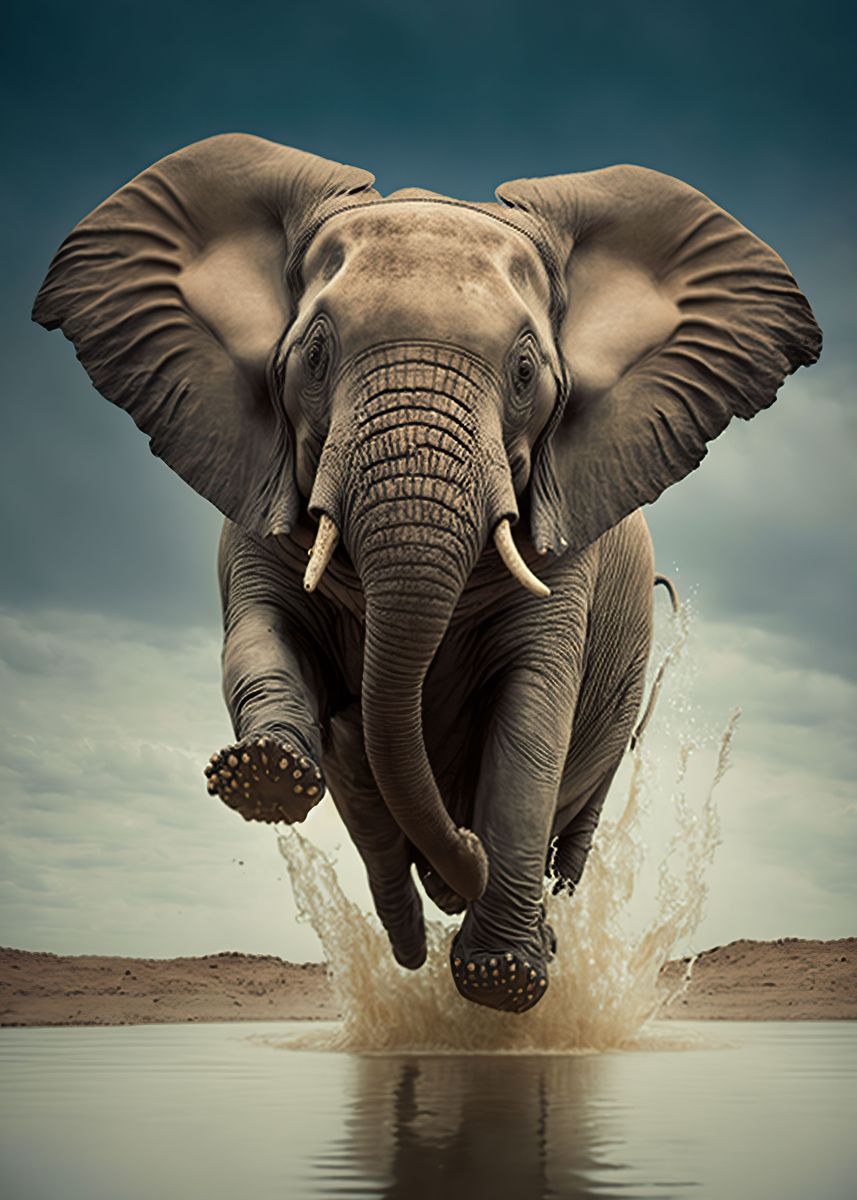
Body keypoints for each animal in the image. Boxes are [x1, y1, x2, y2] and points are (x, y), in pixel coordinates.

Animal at [33, 134, 821, 1014]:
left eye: (524, 372)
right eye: (314, 354)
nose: (467, 848)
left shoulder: (567, 547)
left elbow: (530, 718)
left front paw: (504, 978)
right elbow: (259, 635)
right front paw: (263, 774)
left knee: (572, 819)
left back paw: (522, 925)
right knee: (366, 797)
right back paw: (412, 935)